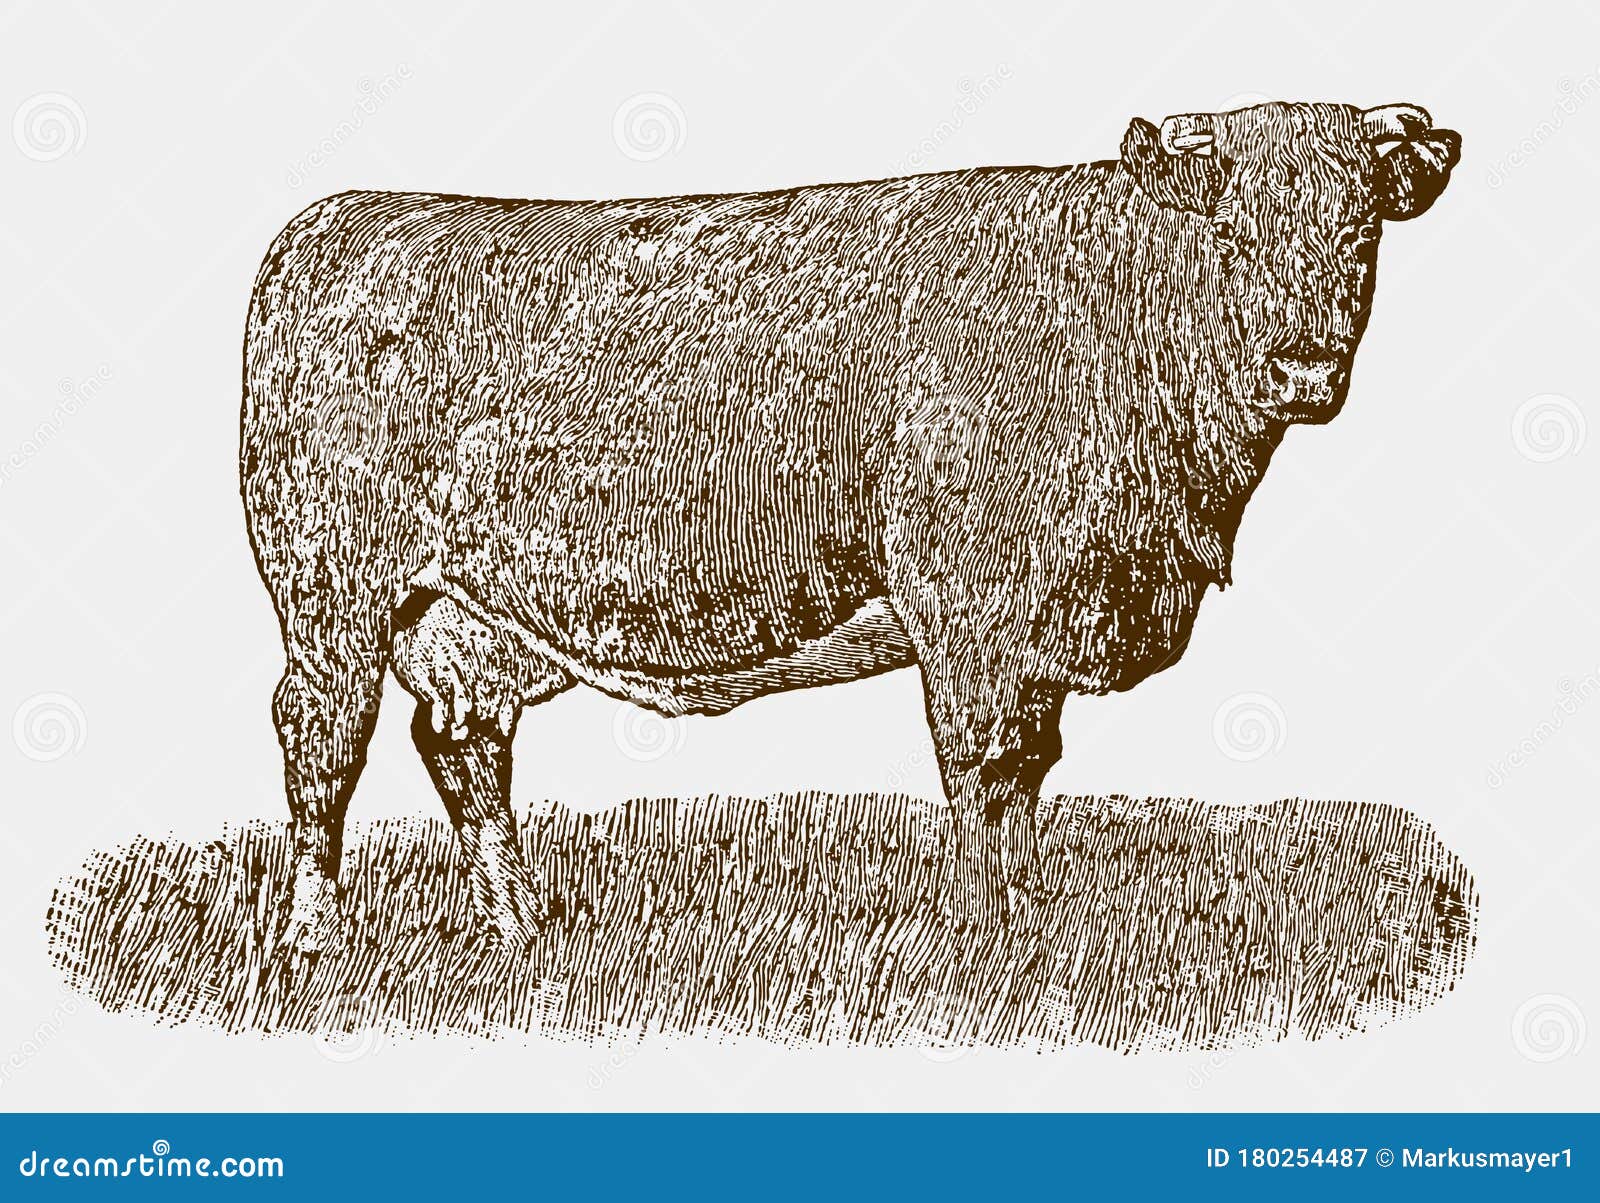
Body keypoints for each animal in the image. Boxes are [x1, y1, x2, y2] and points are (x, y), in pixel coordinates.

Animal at [241, 100, 1459, 961]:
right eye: (1234, 231)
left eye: (1359, 228)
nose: (1304, 366)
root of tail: (345, 219)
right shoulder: (969, 614)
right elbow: (981, 769)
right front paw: (988, 936)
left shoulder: (1039, 630)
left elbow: (1031, 771)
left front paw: (1031, 918)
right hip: (333, 596)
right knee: (323, 745)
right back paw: (315, 939)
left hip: (470, 620)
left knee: (464, 749)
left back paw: (521, 925)